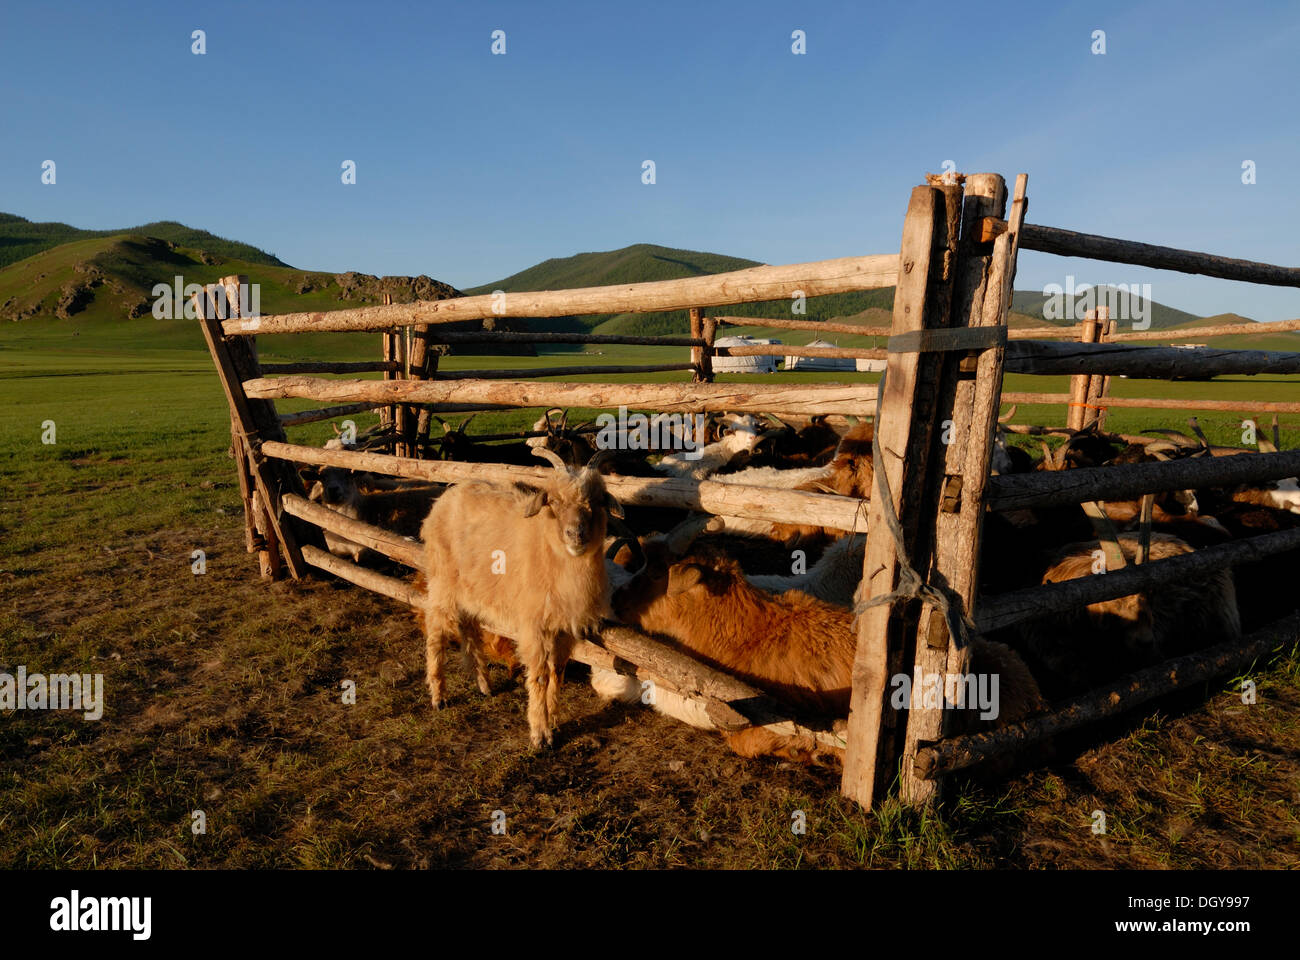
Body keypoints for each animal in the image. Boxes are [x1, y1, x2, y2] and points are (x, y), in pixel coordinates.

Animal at [419, 447, 622, 748]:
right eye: (553, 501)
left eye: (597, 501)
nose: (576, 534)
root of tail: (443, 499)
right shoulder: (533, 626)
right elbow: (539, 676)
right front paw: (540, 733)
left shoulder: (564, 628)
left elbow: (557, 672)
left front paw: (554, 719)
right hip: (443, 583)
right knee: (435, 633)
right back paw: (438, 696)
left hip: (471, 590)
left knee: (469, 629)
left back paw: (484, 685)